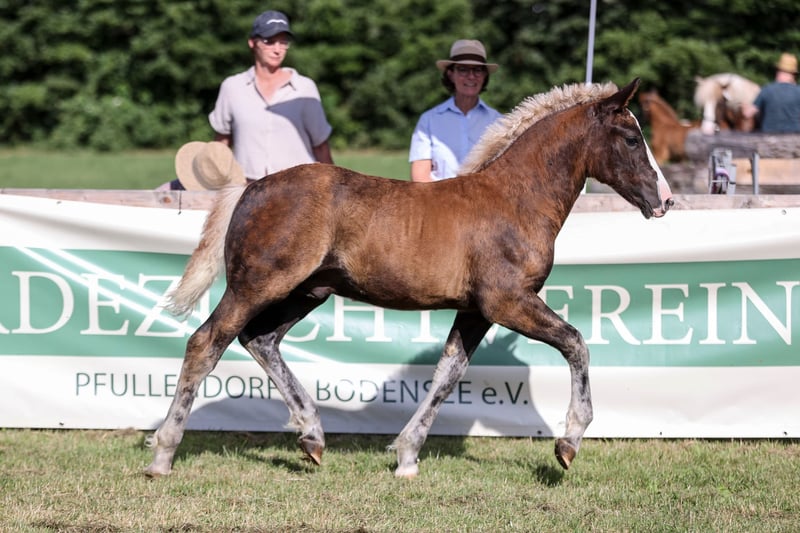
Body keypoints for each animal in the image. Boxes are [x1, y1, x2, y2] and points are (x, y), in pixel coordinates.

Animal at [144, 78, 673, 479]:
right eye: (631, 139)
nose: (665, 200)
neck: (515, 199)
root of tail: (252, 185)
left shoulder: (475, 311)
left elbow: (448, 372)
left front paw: (406, 457)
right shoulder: (508, 302)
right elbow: (575, 342)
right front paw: (568, 443)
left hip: (308, 291)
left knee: (259, 339)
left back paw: (312, 437)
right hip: (257, 285)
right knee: (207, 341)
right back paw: (163, 454)